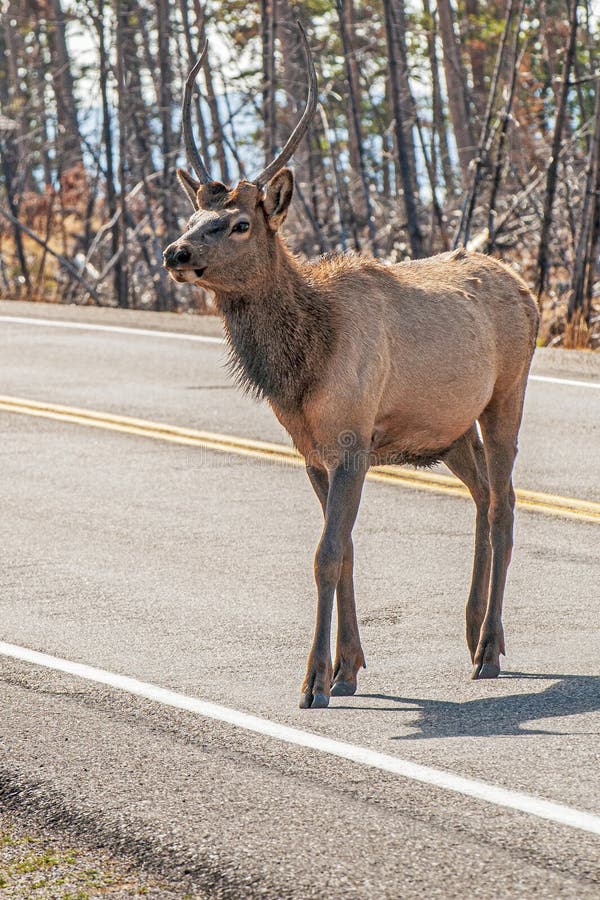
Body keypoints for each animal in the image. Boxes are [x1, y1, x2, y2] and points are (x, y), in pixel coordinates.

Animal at [163, 27, 539, 710]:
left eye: (238, 222)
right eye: (191, 216)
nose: (175, 252)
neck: (304, 364)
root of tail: (527, 290)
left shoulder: (350, 438)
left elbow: (326, 553)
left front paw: (313, 681)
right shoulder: (312, 450)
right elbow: (348, 553)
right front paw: (349, 666)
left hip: (508, 394)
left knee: (504, 504)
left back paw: (489, 650)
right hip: (450, 429)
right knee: (480, 495)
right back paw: (472, 628)